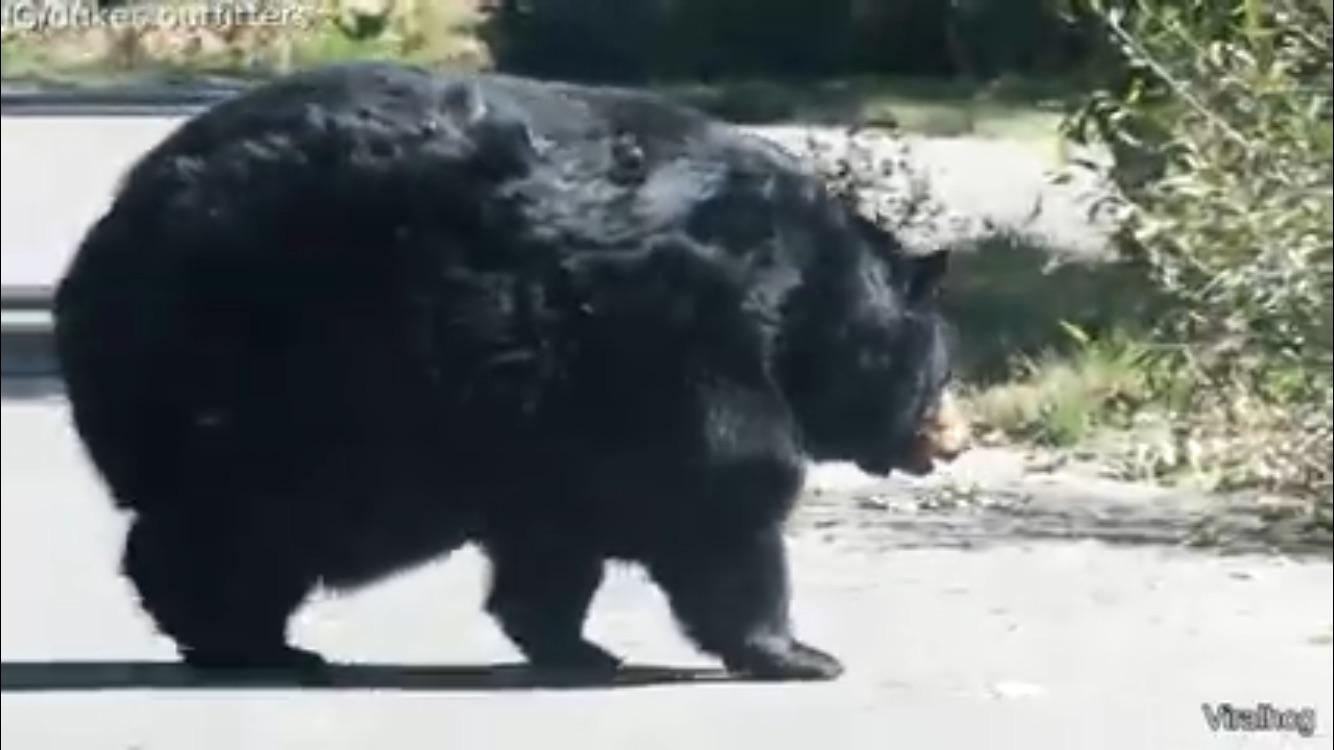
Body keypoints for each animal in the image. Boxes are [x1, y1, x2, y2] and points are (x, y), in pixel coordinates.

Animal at [53, 61, 961, 681]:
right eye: (942, 374)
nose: (952, 437)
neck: (809, 300)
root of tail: (106, 239)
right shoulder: (692, 339)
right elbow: (728, 484)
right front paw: (799, 651)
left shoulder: (567, 413)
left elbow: (556, 536)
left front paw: (576, 644)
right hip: (287, 376)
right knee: (245, 519)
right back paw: (250, 642)